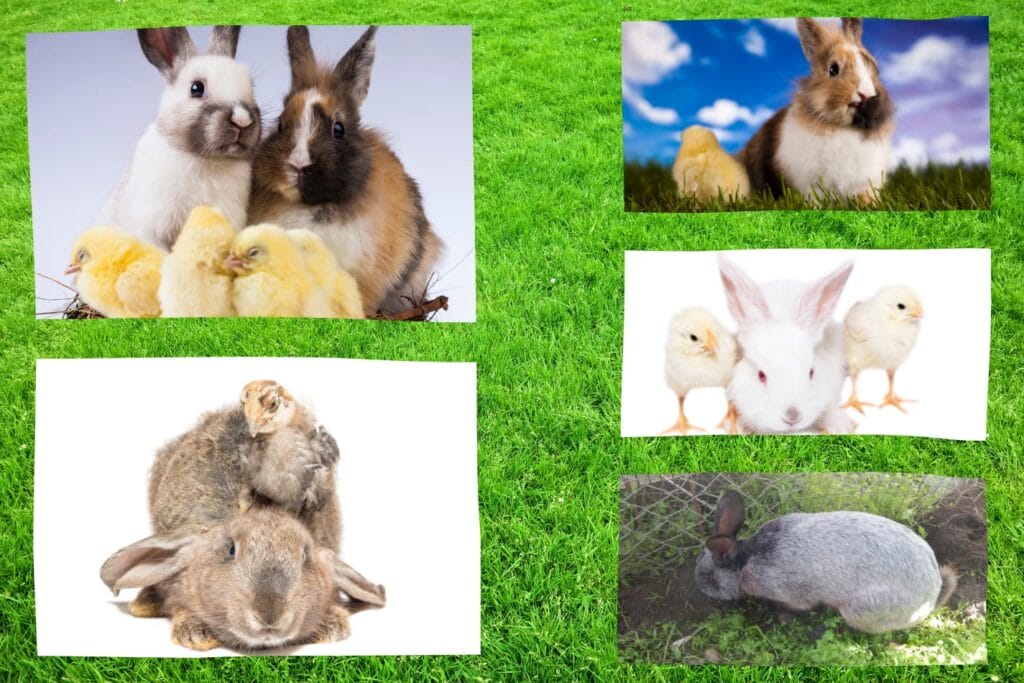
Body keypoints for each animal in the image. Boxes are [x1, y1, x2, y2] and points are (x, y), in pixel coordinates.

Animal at [695, 489, 959, 634]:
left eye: (709, 577)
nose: (699, 586)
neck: (747, 559)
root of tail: (932, 594)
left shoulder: (791, 595)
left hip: (857, 610)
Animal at [737, 18, 894, 203]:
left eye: (877, 70)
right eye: (833, 69)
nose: (866, 94)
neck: (843, 128)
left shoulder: (866, 183)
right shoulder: (809, 184)